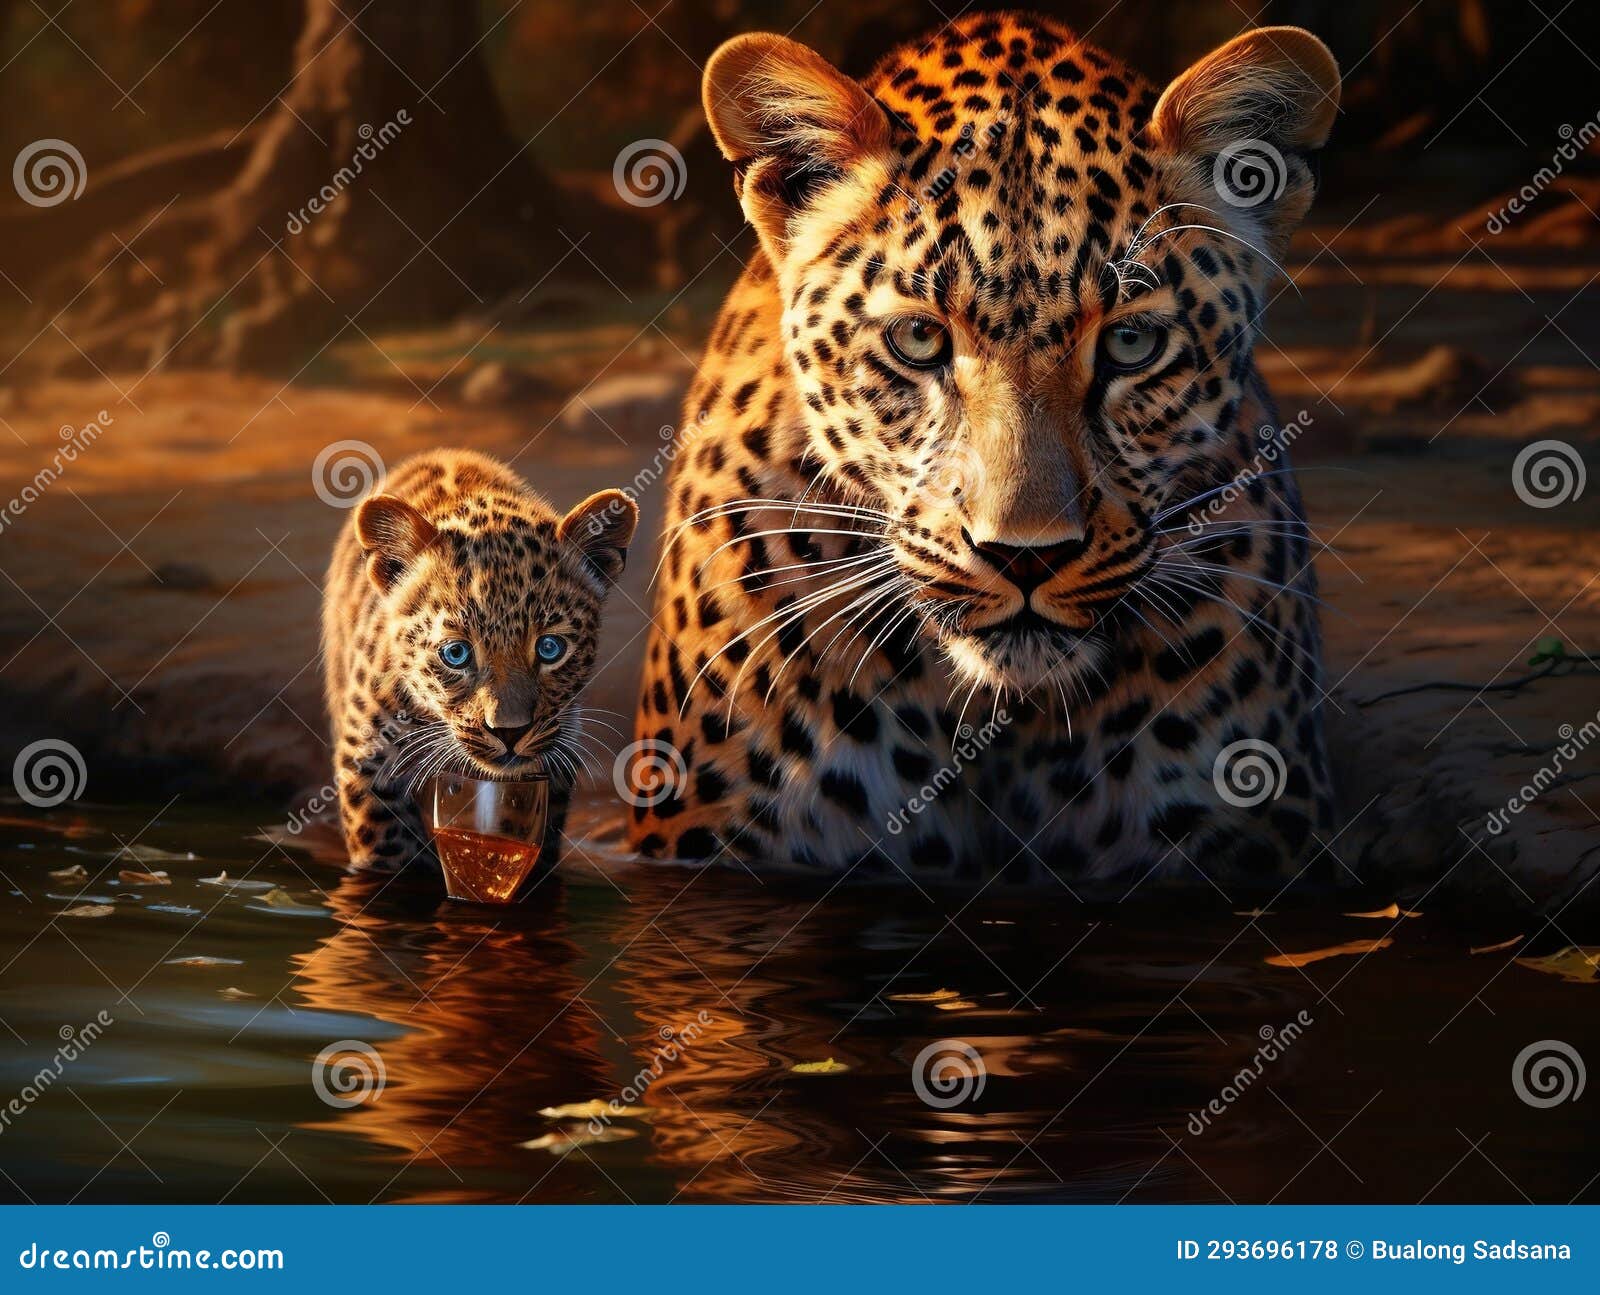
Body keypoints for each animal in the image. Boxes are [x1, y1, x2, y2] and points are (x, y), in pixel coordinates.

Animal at [322, 448, 636, 872]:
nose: (509, 733)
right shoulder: (366, 762)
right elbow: (392, 854)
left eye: (550, 648)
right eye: (456, 654)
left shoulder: (550, 766)